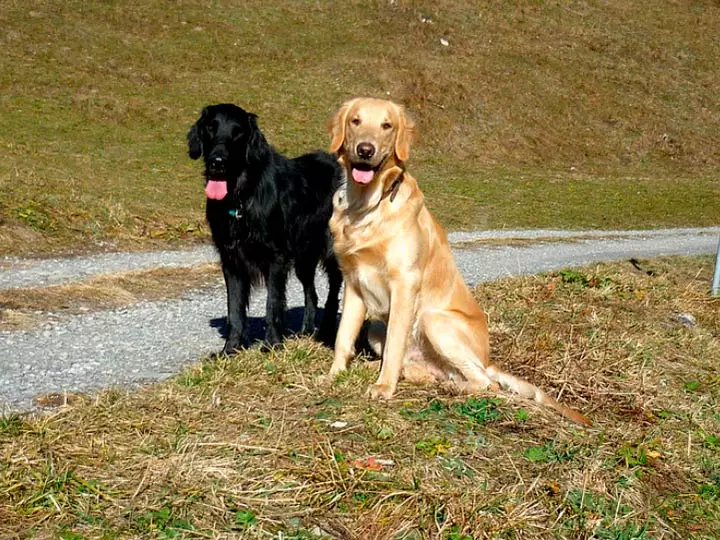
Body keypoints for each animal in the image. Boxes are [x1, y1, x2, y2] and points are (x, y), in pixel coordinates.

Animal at [186, 103, 344, 352]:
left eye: (238, 132)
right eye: (211, 127)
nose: (217, 162)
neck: (241, 197)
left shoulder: (276, 258)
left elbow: (273, 304)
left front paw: (272, 344)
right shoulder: (231, 260)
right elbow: (235, 309)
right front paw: (230, 349)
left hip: (330, 249)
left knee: (334, 289)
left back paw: (326, 330)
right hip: (303, 257)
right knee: (312, 293)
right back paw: (307, 330)